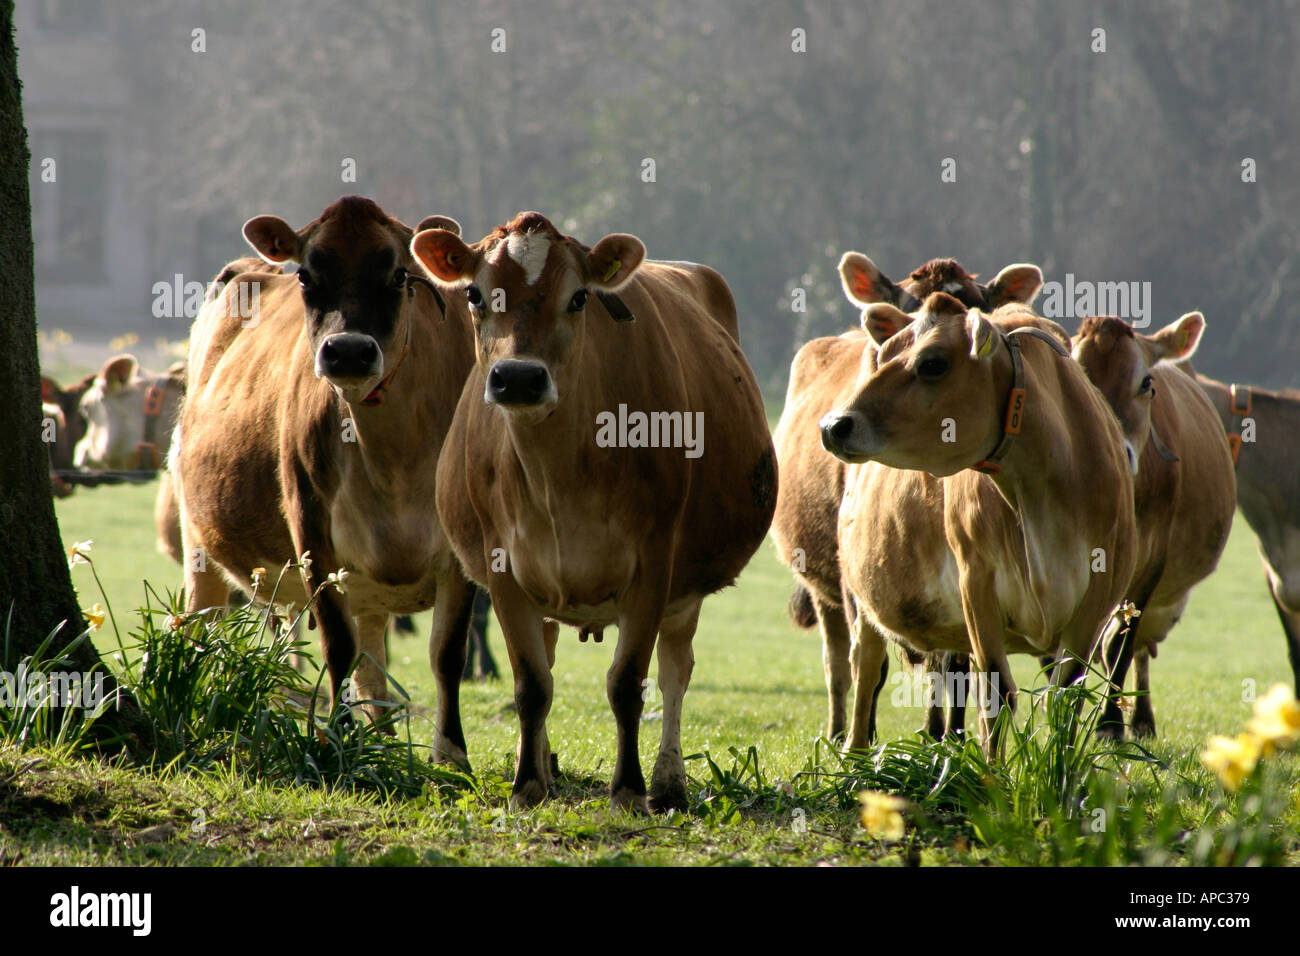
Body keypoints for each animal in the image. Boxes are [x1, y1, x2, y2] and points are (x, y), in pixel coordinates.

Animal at [173, 196, 482, 759]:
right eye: (306, 274)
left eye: (399, 274)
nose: (349, 351)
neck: (396, 459)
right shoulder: (312, 531)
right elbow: (338, 647)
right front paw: (336, 738)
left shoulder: (461, 547)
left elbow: (448, 653)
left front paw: (451, 754)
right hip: (197, 536)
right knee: (196, 624)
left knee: (373, 659)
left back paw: (383, 739)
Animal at [410, 211, 776, 812]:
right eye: (475, 294)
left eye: (579, 297)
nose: (519, 377)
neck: (556, 474)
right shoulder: (502, 566)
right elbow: (532, 684)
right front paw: (526, 786)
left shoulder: (654, 563)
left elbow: (629, 683)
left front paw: (628, 789)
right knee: (551, 662)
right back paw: (542, 765)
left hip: (686, 589)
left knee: (675, 672)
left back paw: (668, 783)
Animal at [771, 254, 1043, 742]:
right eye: (909, 314)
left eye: (979, 313)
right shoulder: (855, 573)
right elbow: (870, 666)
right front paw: (863, 736)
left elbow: (957, 665)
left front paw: (948, 737)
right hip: (822, 579)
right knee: (837, 660)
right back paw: (838, 730)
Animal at [820, 294, 1137, 752]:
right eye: (886, 354)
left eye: (933, 363)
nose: (833, 424)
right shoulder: (977, 581)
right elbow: (996, 692)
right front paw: (991, 771)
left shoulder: (1097, 599)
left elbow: (1065, 697)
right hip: (861, 596)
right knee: (866, 666)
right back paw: (856, 753)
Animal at [1071, 314, 1235, 737]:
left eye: (1146, 382)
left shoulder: (1153, 557)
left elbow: (1121, 642)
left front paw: (1110, 723)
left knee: (1138, 645)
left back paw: (1141, 718)